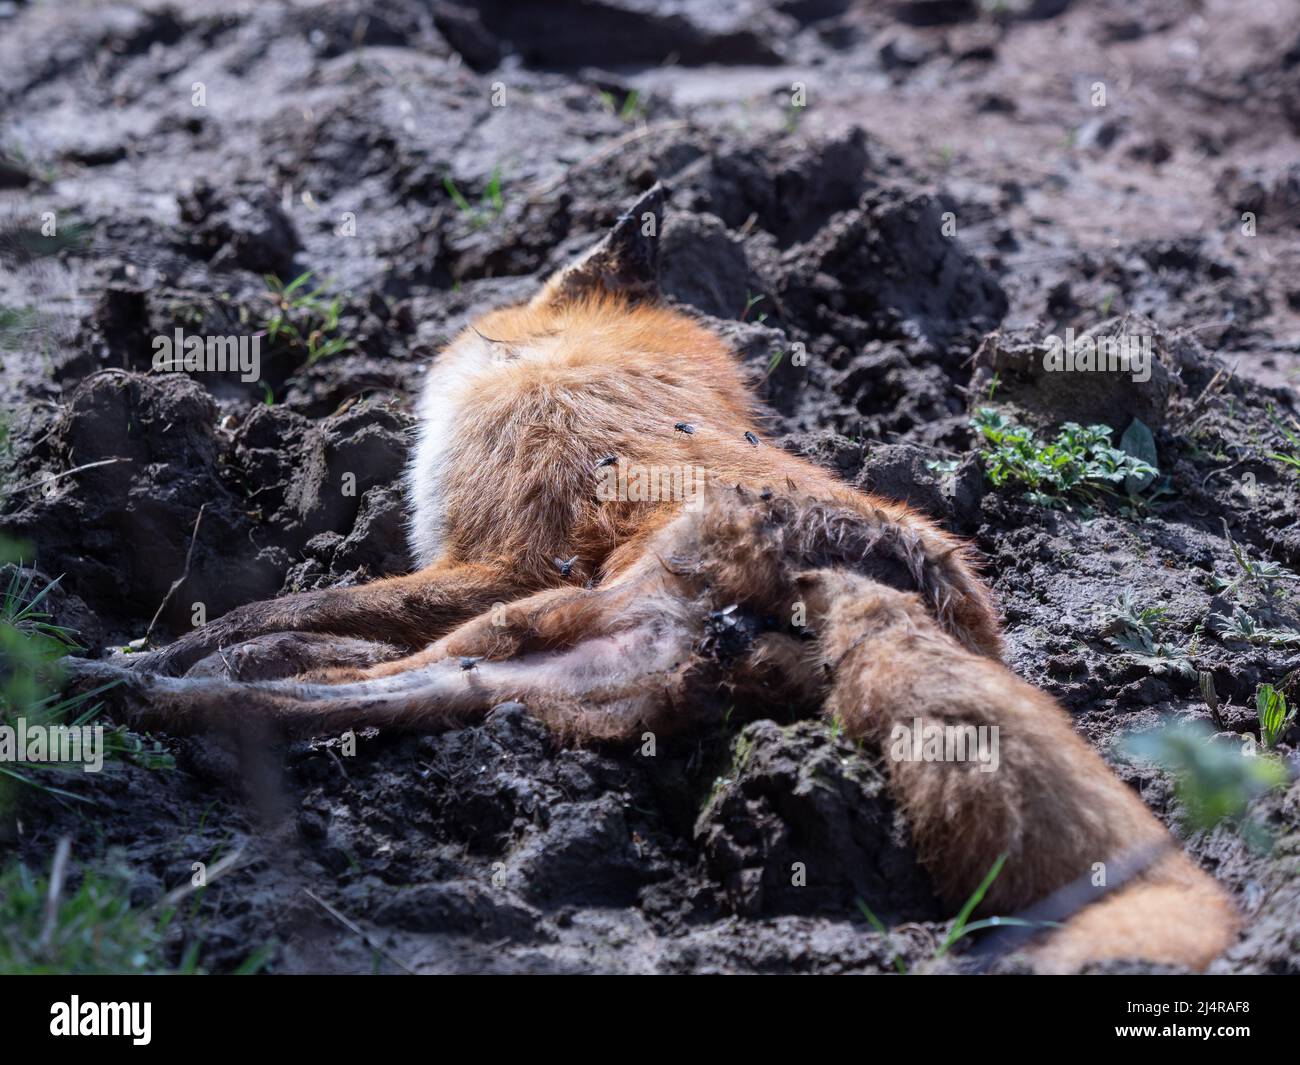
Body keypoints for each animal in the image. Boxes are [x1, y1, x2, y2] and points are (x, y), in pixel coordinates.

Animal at [70, 185, 1239, 973]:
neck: (573, 357)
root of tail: (923, 595)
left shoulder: (499, 557)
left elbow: (297, 598)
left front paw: (170, 641)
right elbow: (318, 614)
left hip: (567, 616)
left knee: (377, 680)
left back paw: (152, 687)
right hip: (599, 665)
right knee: (400, 693)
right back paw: (175, 699)